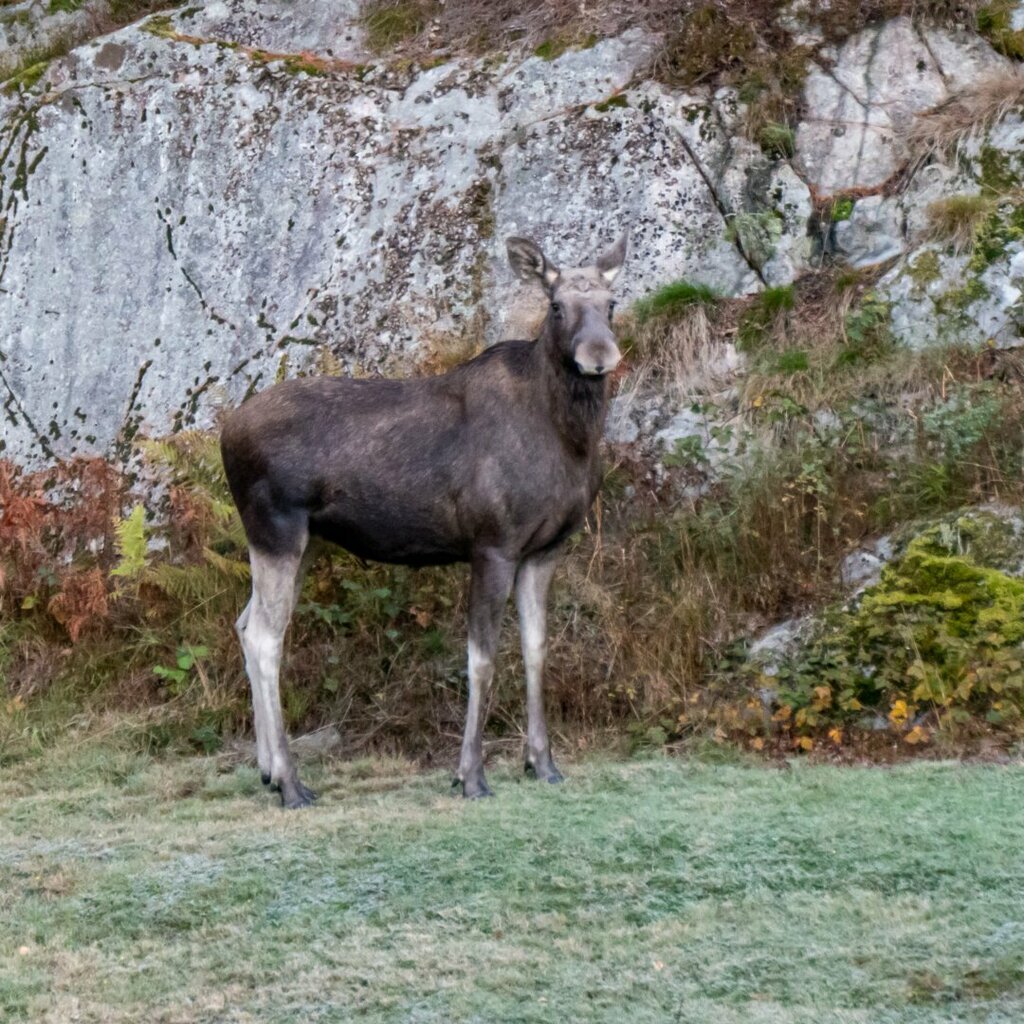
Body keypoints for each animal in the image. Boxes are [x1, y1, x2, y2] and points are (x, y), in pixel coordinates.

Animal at [220, 232, 628, 807]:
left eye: (611, 305)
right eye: (556, 306)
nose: (598, 356)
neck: (568, 440)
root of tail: (223, 433)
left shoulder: (546, 548)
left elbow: (537, 650)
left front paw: (543, 763)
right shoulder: (492, 544)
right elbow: (481, 659)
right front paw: (471, 775)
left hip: (306, 542)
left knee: (244, 623)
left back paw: (268, 770)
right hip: (276, 528)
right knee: (264, 638)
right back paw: (292, 783)